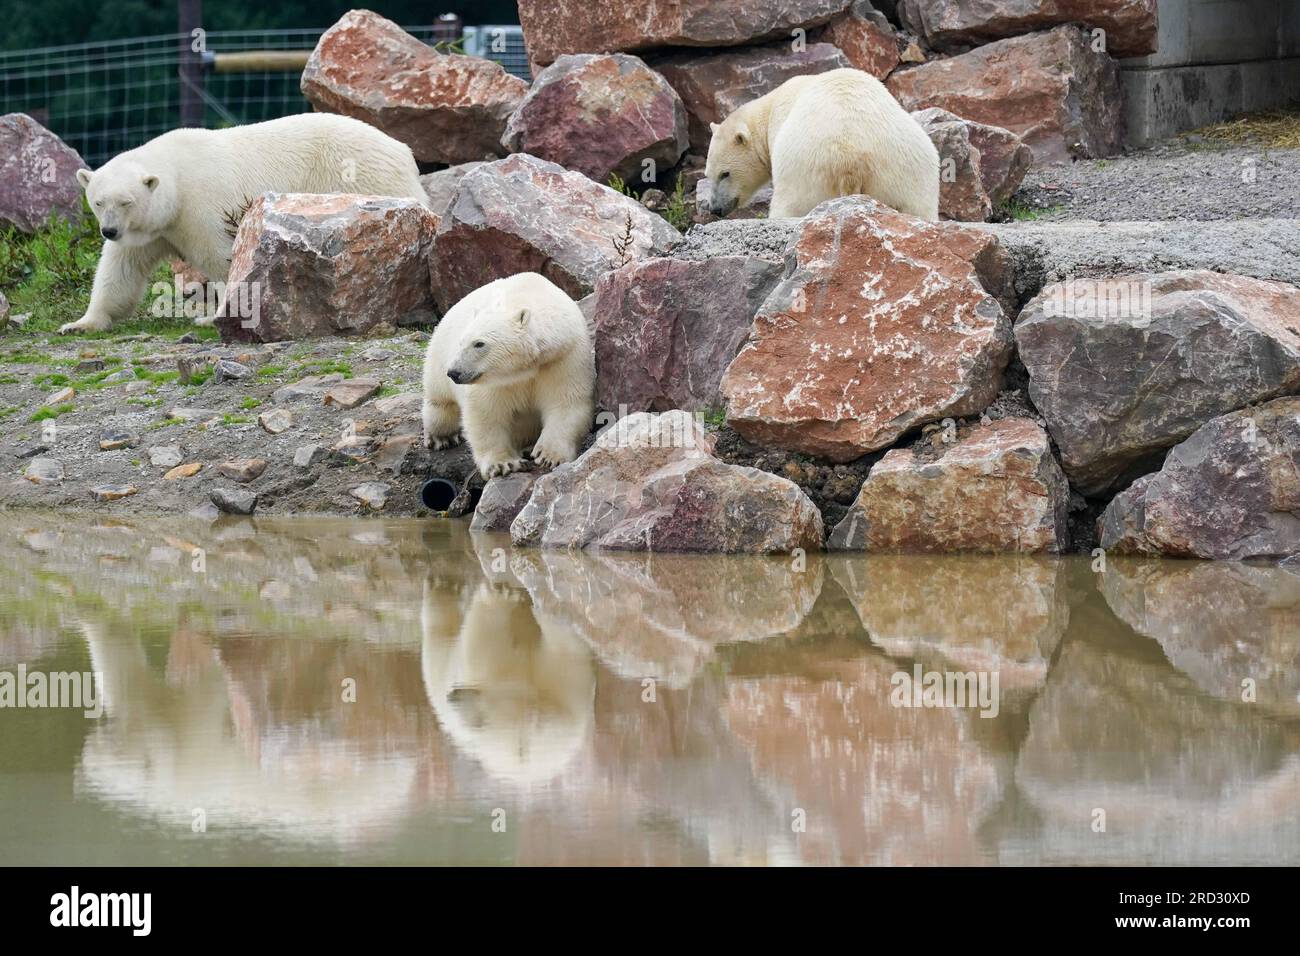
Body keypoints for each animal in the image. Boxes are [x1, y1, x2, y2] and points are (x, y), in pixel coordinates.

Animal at [62, 112, 430, 334]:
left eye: (127, 201)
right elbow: (121, 267)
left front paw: (213, 315)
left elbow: (222, 258)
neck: (176, 175)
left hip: (364, 177)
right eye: (98, 201)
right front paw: (80, 323)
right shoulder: (153, 228)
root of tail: (404, 150)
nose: (109, 230)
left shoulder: (199, 206)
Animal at [422, 272, 595, 479]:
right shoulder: (495, 381)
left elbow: (566, 402)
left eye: (479, 343)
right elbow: (487, 414)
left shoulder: (564, 358)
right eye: (461, 342)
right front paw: (504, 464)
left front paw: (549, 456)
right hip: (436, 360)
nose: (454, 372)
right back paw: (443, 437)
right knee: (440, 404)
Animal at [704, 68, 940, 221]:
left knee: (789, 205)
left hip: (804, 174)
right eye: (707, 175)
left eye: (724, 173)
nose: (715, 209)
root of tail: (850, 162)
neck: (768, 109)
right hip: (905, 174)